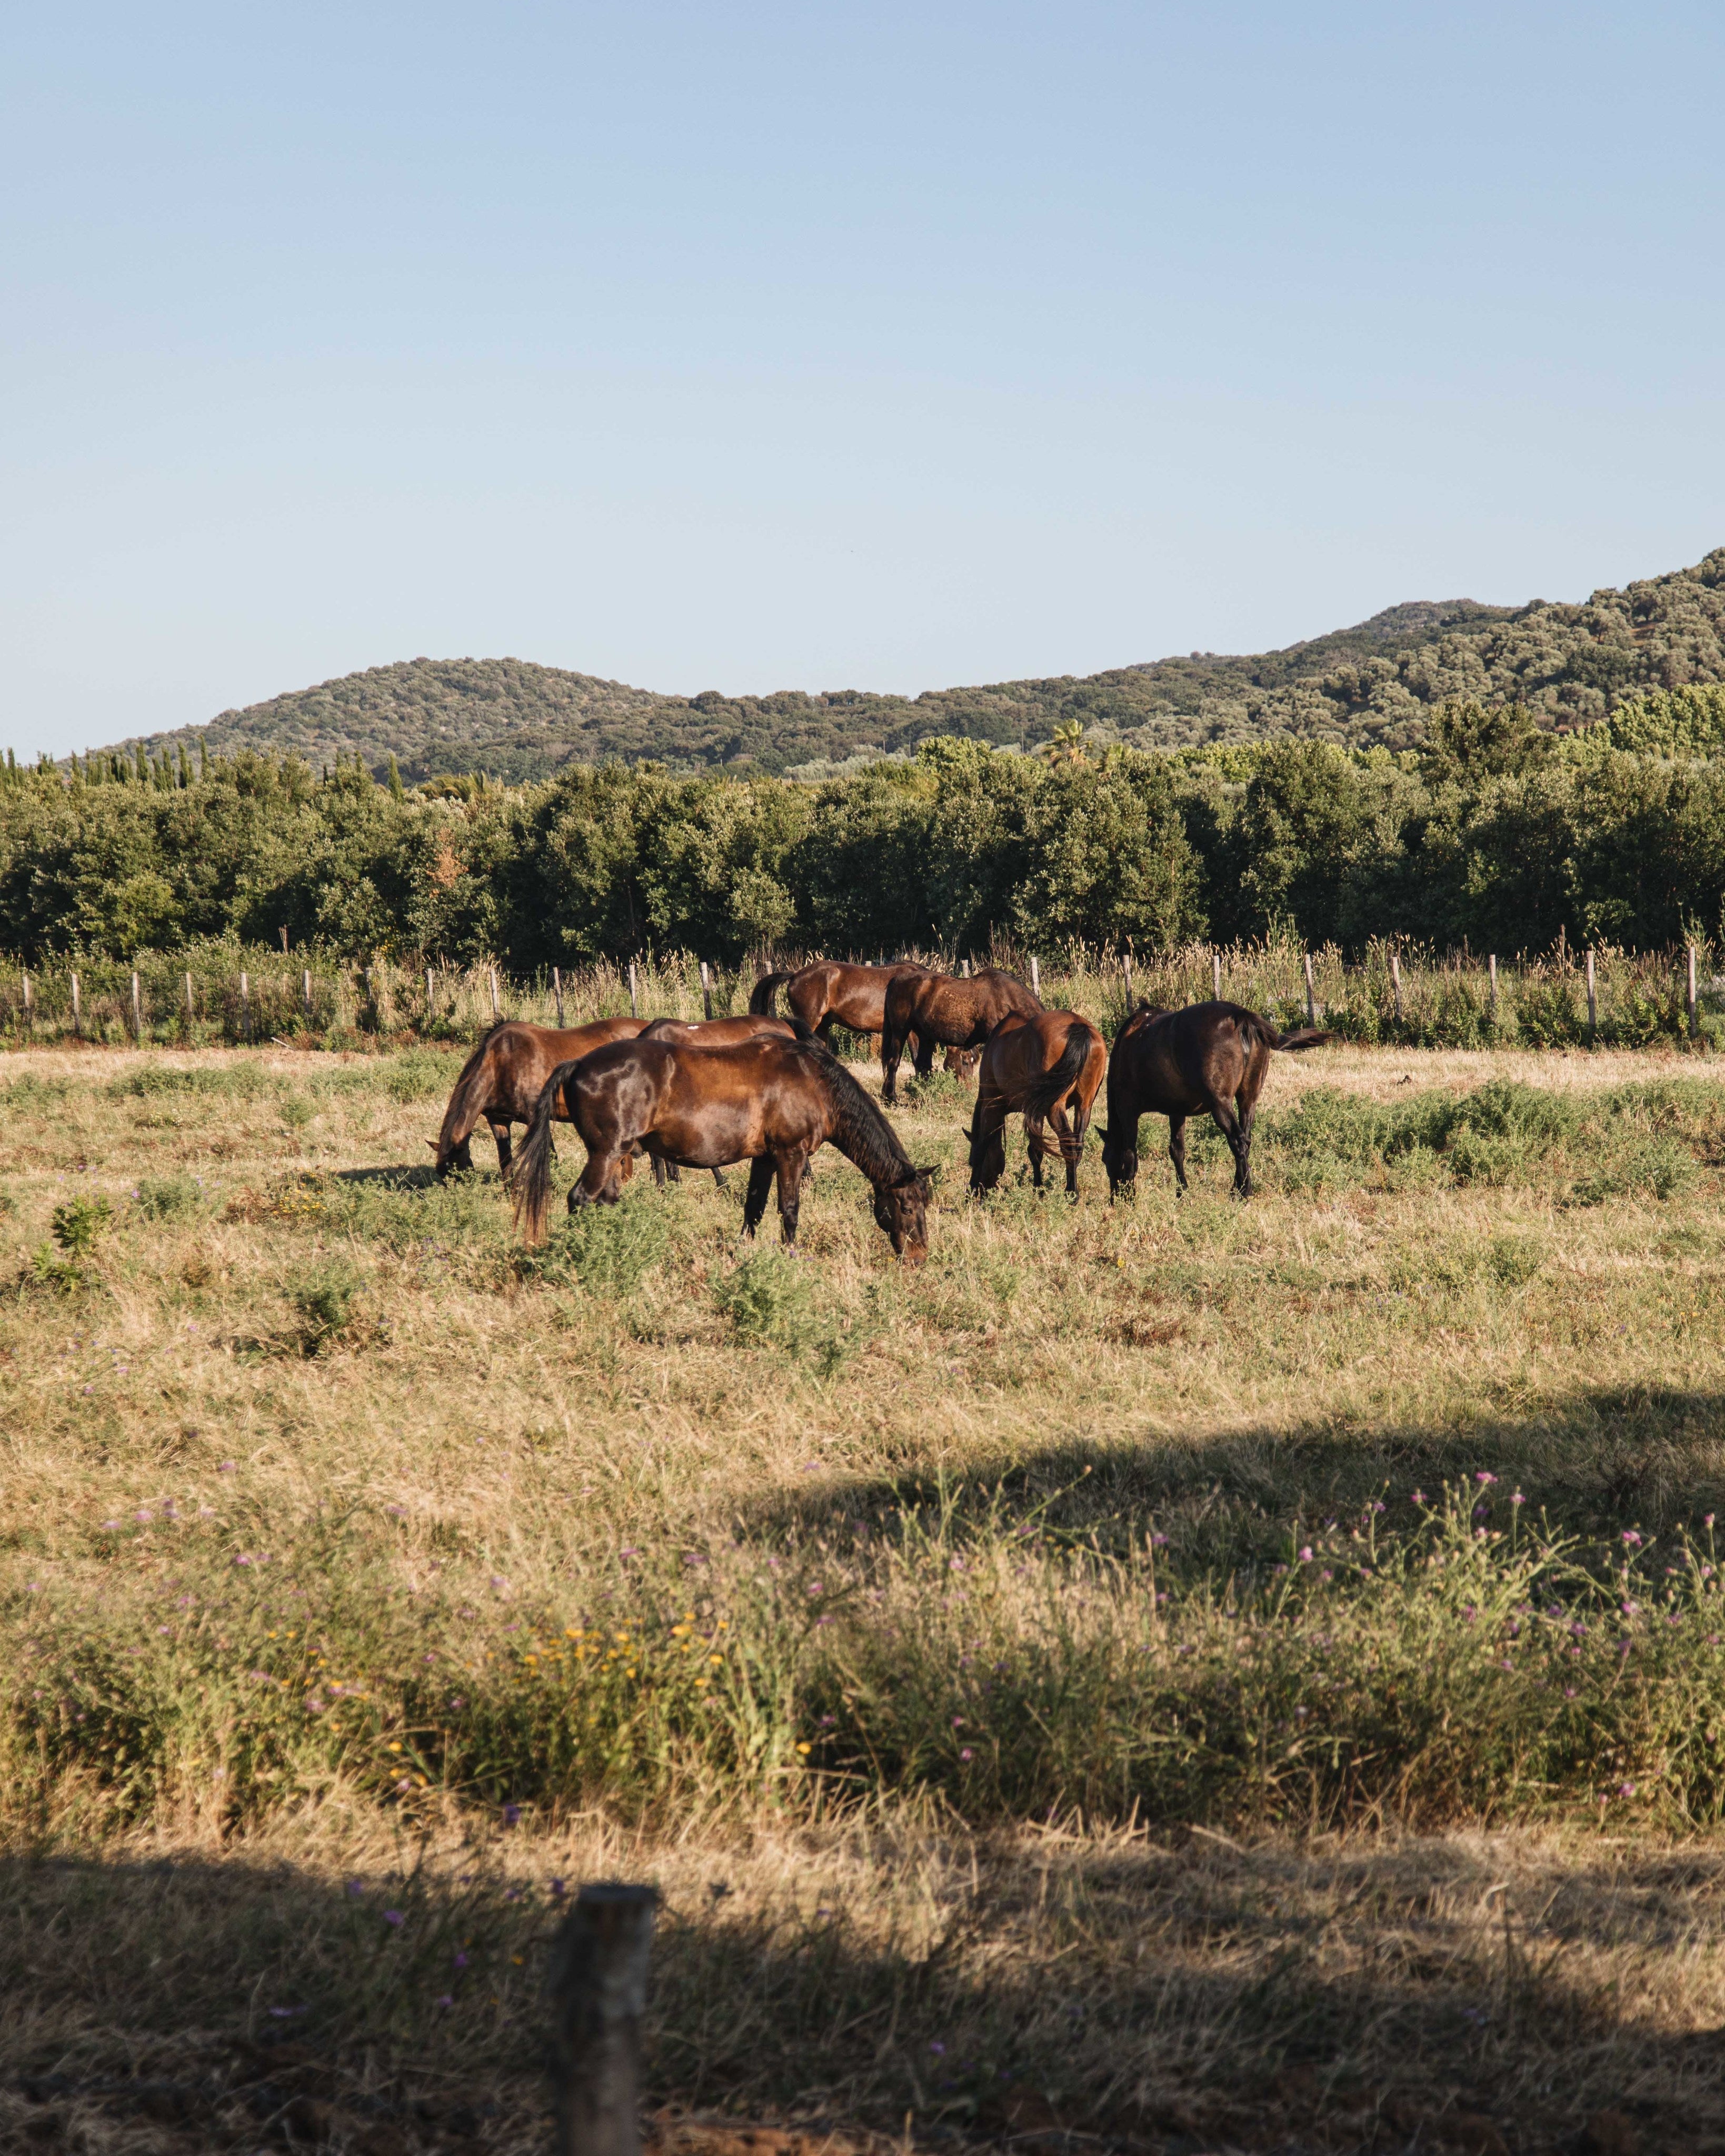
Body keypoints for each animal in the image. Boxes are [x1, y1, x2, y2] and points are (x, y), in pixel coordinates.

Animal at [433, 1017, 647, 1178]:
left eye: (456, 1172)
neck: (501, 1062)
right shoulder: (498, 1121)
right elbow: (505, 1161)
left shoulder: (535, 1119)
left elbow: (550, 1157)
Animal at [510, 1030, 937, 1262]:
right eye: (906, 1207)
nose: (918, 1258)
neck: (812, 1080)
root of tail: (578, 1064)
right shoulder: (790, 1154)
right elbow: (789, 1211)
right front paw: (791, 1256)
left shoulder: (765, 1159)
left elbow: (754, 1209)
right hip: (606, 1153)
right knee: (580, 1199)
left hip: (615, 1156)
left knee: (606, 1200)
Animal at [880, 967, 1042, 1104]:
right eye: (964, 1062)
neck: (1007, 1000)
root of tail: (896, 980)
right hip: (900, 1031)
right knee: (894, 1062)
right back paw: (891, 1098)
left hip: (926, 1036)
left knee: (922, 1065)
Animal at [967, 1011, 1107, 1198]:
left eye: (970, 1162)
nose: (982, 1191)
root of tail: (1078, 1026)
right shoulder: (1033, 1111)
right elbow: (1036, 1150)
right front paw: (1039, 1189)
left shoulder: (992, 1107)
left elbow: (984, 1145)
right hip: (1084, 1105)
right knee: (1078, 1144)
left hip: (1054, 1108)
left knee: (1068, 1143)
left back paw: (1071, 1193)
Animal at [1098, 1000, 1331, 1201]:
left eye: (1106, 1160)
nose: (1114, 1199)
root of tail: (1240, 1016)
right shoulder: (1177, 1111)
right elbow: (1177, 1150)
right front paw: (1182, 1193)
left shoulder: (1128, 1110)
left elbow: (1130, 1154)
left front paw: (1131, 1197)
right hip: (1249, 1099)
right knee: (1246, 1140)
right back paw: (1237, 1187)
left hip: (1219, 1103)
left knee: (1237, 1140)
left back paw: (1244, 1191)